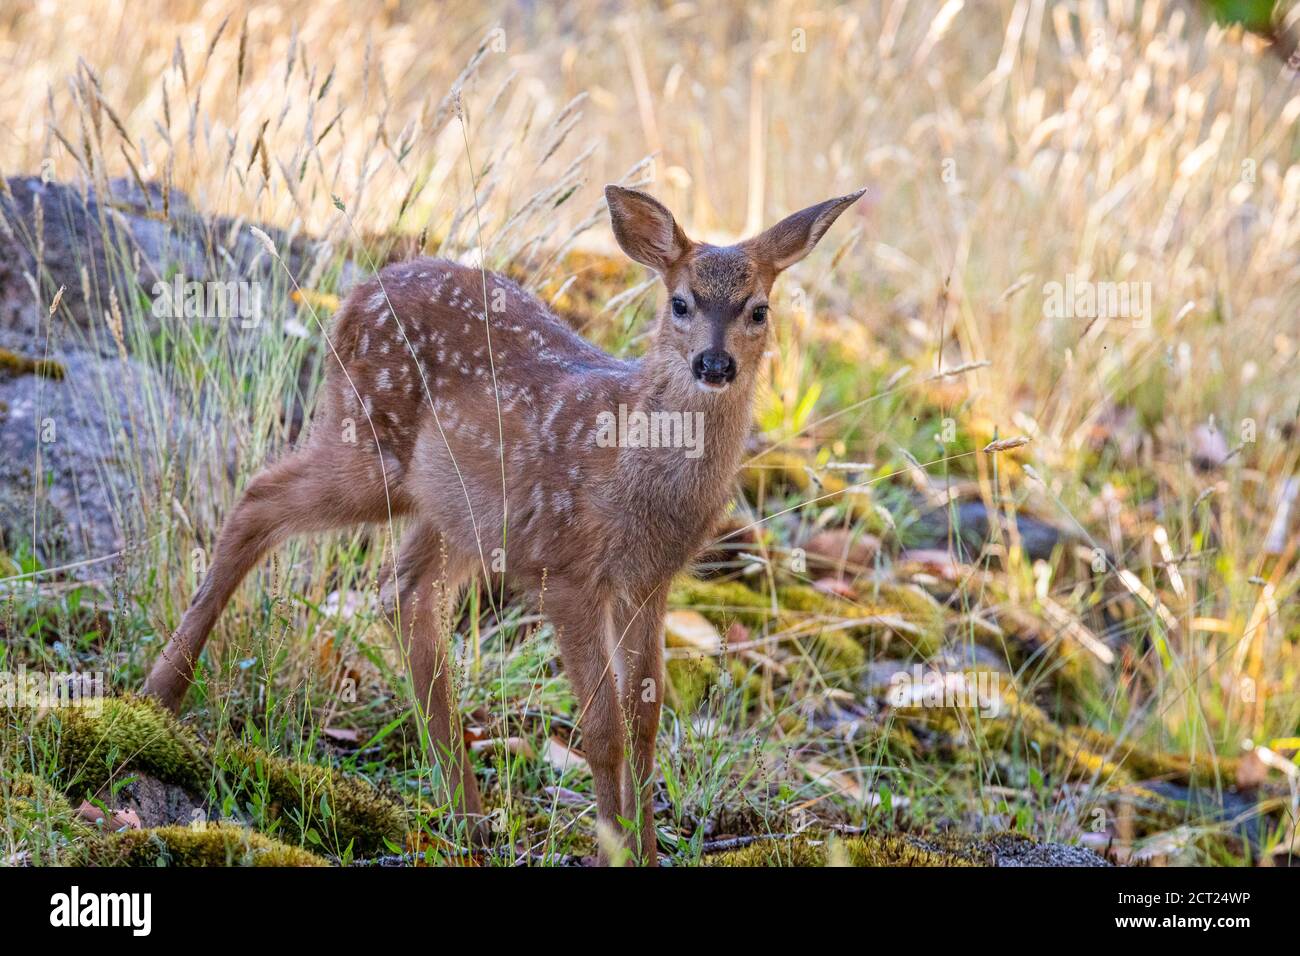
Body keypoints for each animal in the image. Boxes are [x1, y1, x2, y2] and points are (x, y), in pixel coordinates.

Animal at [142, 183, 865, 865]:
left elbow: (646, 721)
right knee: (258, 498)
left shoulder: (648, 582)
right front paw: (613, 847)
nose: (715, 365)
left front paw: (645, 850)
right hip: (370, 445)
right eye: (681, 303)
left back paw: (468, 816)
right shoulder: (566, 568)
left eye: (758, 309)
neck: (633, 465)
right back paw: (160, 694)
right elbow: (603, 728)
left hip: (456, 511)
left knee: (400, 591)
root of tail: (356, 293)